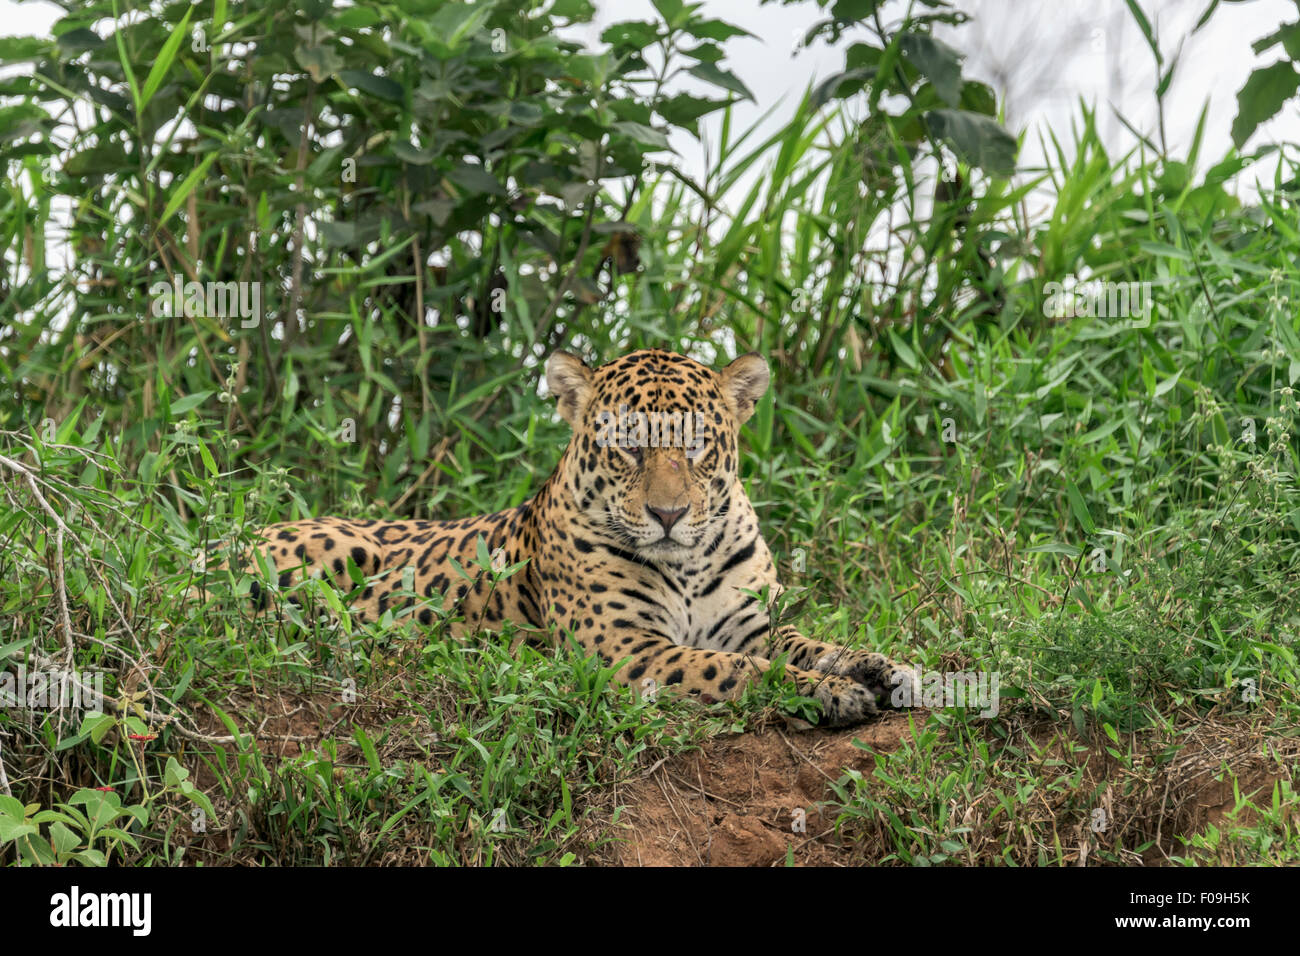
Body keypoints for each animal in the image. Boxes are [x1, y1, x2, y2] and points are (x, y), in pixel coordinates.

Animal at [216, 348, 919, 726]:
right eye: (627, 445)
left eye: (695, 445)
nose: (668, 514)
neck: (689, 565)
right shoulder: (628, 649)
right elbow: (738, 670)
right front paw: (834, 693)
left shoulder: (754, 624)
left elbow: (811, 645)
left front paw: (887, 668)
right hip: (341, 550)